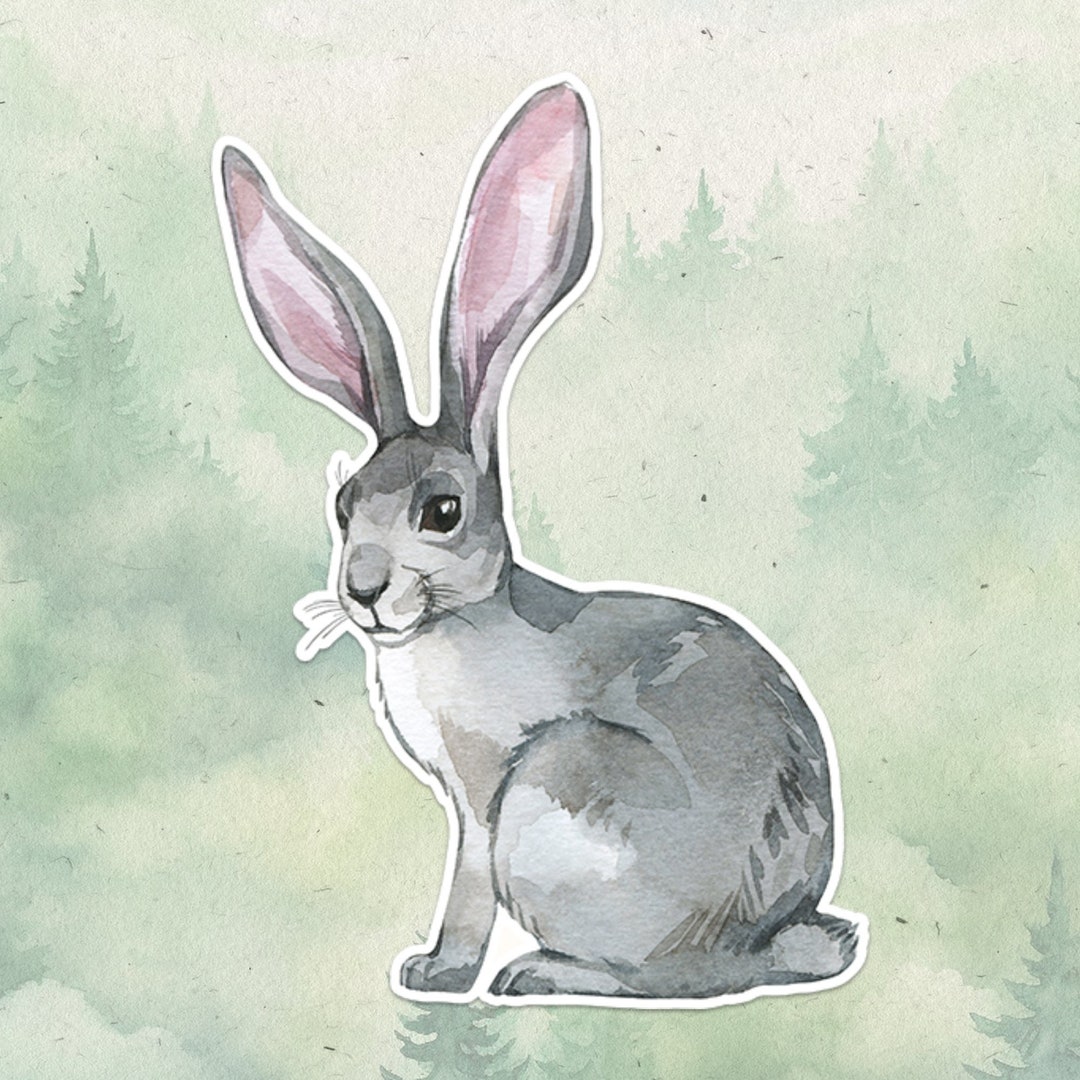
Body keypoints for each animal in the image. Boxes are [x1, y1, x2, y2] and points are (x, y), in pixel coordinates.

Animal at [214, 75, 867, 1005]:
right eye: (343, 505)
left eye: (443, 511)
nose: (363, 590)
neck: (463, 618)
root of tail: (764, 937)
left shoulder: (484, 797)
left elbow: (467, 888)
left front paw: (438, 973)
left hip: (560, 788)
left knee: (663, 978)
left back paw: (535, 972)